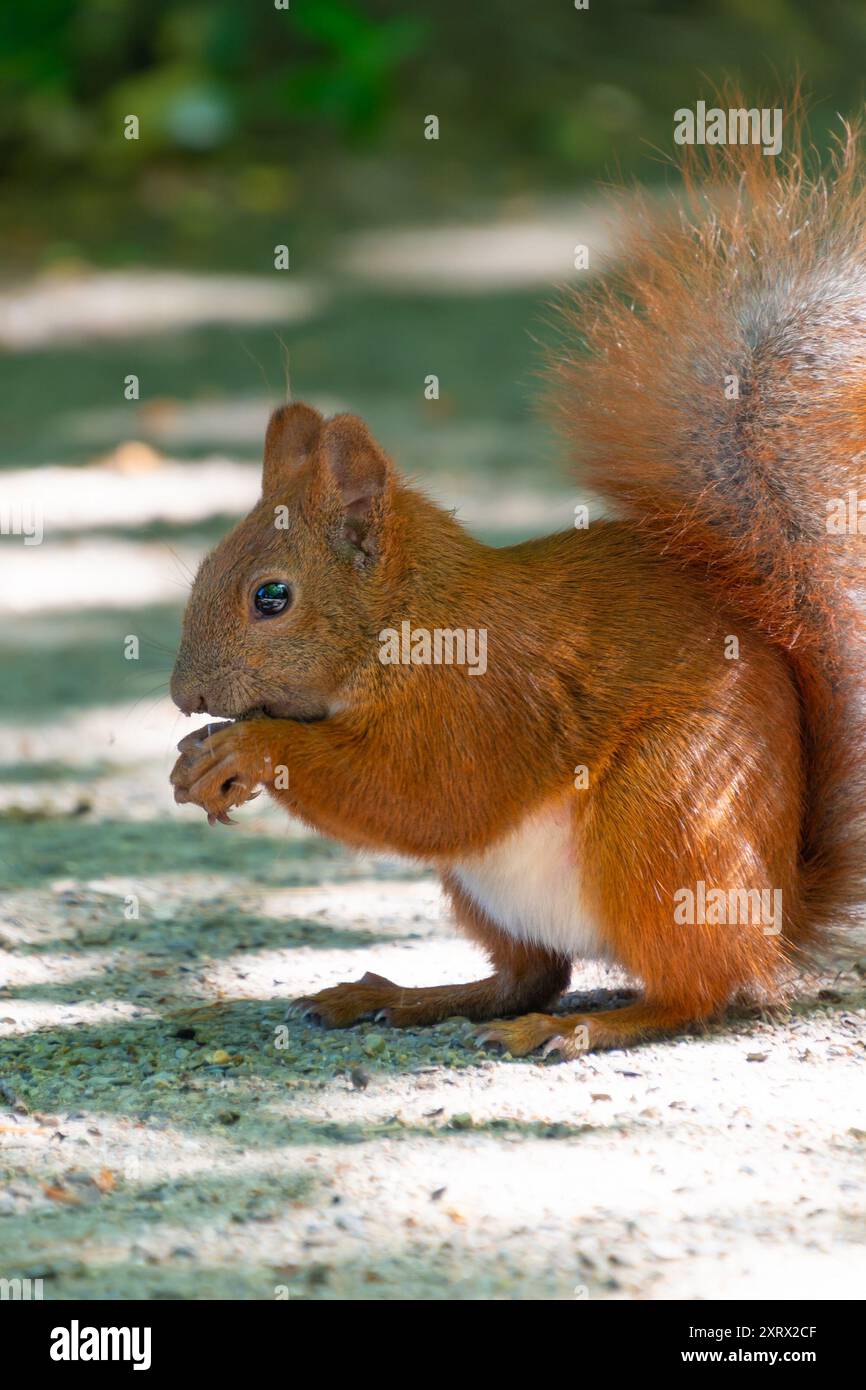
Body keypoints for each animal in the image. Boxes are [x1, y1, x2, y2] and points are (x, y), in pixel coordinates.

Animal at [170, 119, 866, 1058]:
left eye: (270, 598)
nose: (183, 694)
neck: (408, 619)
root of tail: (778, 910)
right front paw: (196, 760)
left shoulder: (483, 699)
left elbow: (424, 794)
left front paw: (243, 750)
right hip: (488, 891)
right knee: (530, 974)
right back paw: (404, 996)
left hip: (665, 816)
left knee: (699, 989)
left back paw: (590, 1027)